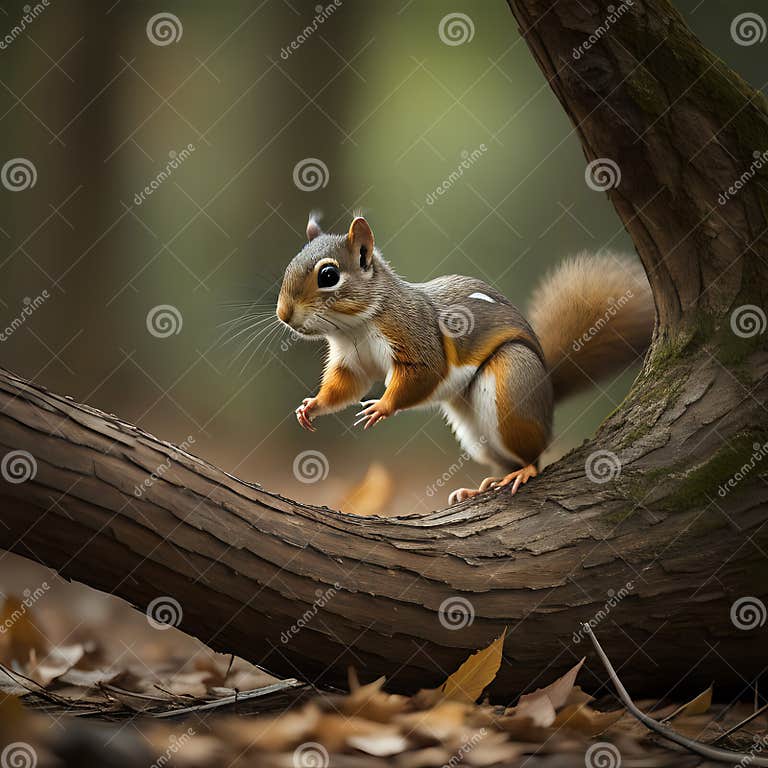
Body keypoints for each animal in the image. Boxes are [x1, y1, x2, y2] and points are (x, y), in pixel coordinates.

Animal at [277, 213, 654, 505]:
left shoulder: (414, 335)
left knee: (535, 454)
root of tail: (546, 393)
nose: (283, 315)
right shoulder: (352, 360)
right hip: (473, 431)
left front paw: (382, 406)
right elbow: (346, 387)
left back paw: (522, 471)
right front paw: (311, 406)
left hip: (512, 382)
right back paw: (481, 487)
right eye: (289, 265)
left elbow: (424, 373)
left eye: (329, 276)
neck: (355, 327)